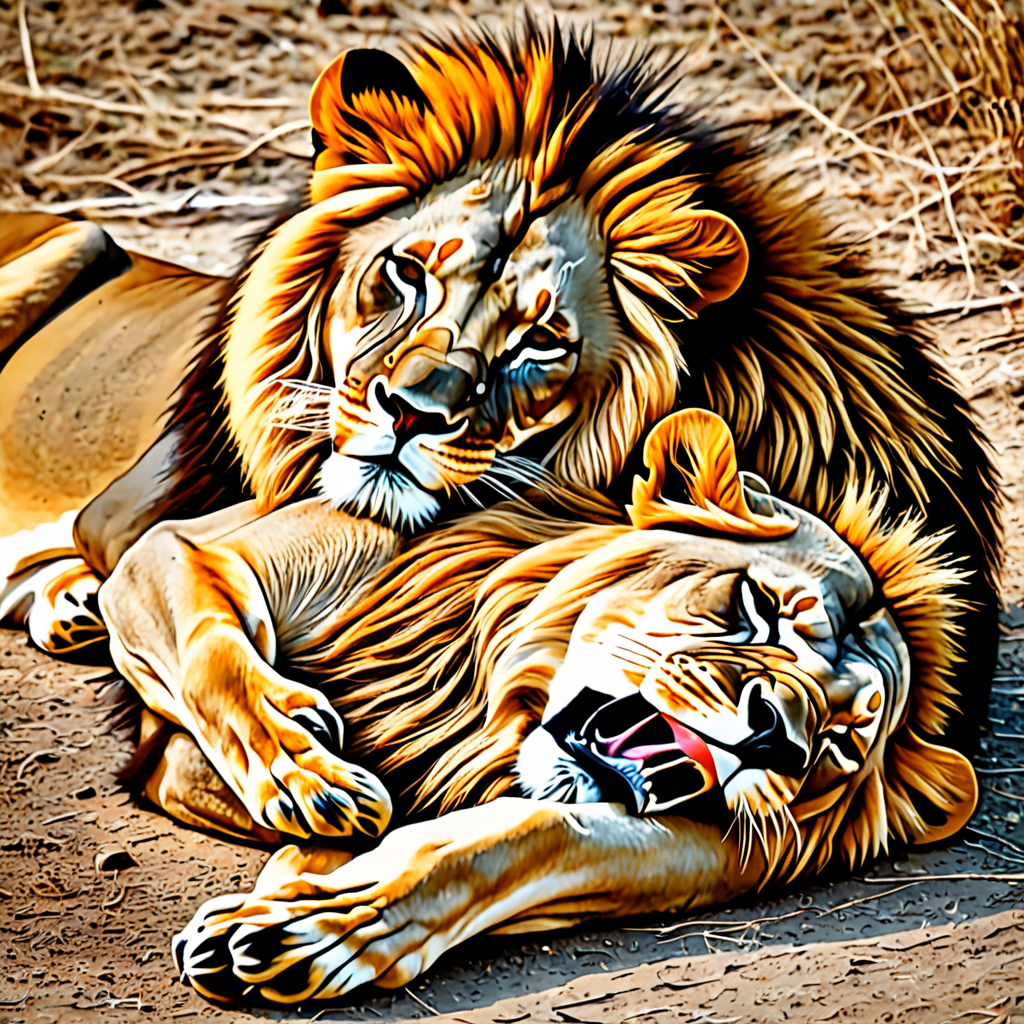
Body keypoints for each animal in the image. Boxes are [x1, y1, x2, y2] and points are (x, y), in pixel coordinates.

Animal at [0, 14, 1001, 1007]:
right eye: (403, 275)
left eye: (837, 747)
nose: (774, 737)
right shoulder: (181, 553)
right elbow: (217, 657)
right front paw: (307, 772)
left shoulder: (700, 840)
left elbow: (515, 836)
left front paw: (322, 922)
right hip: (80, 241)